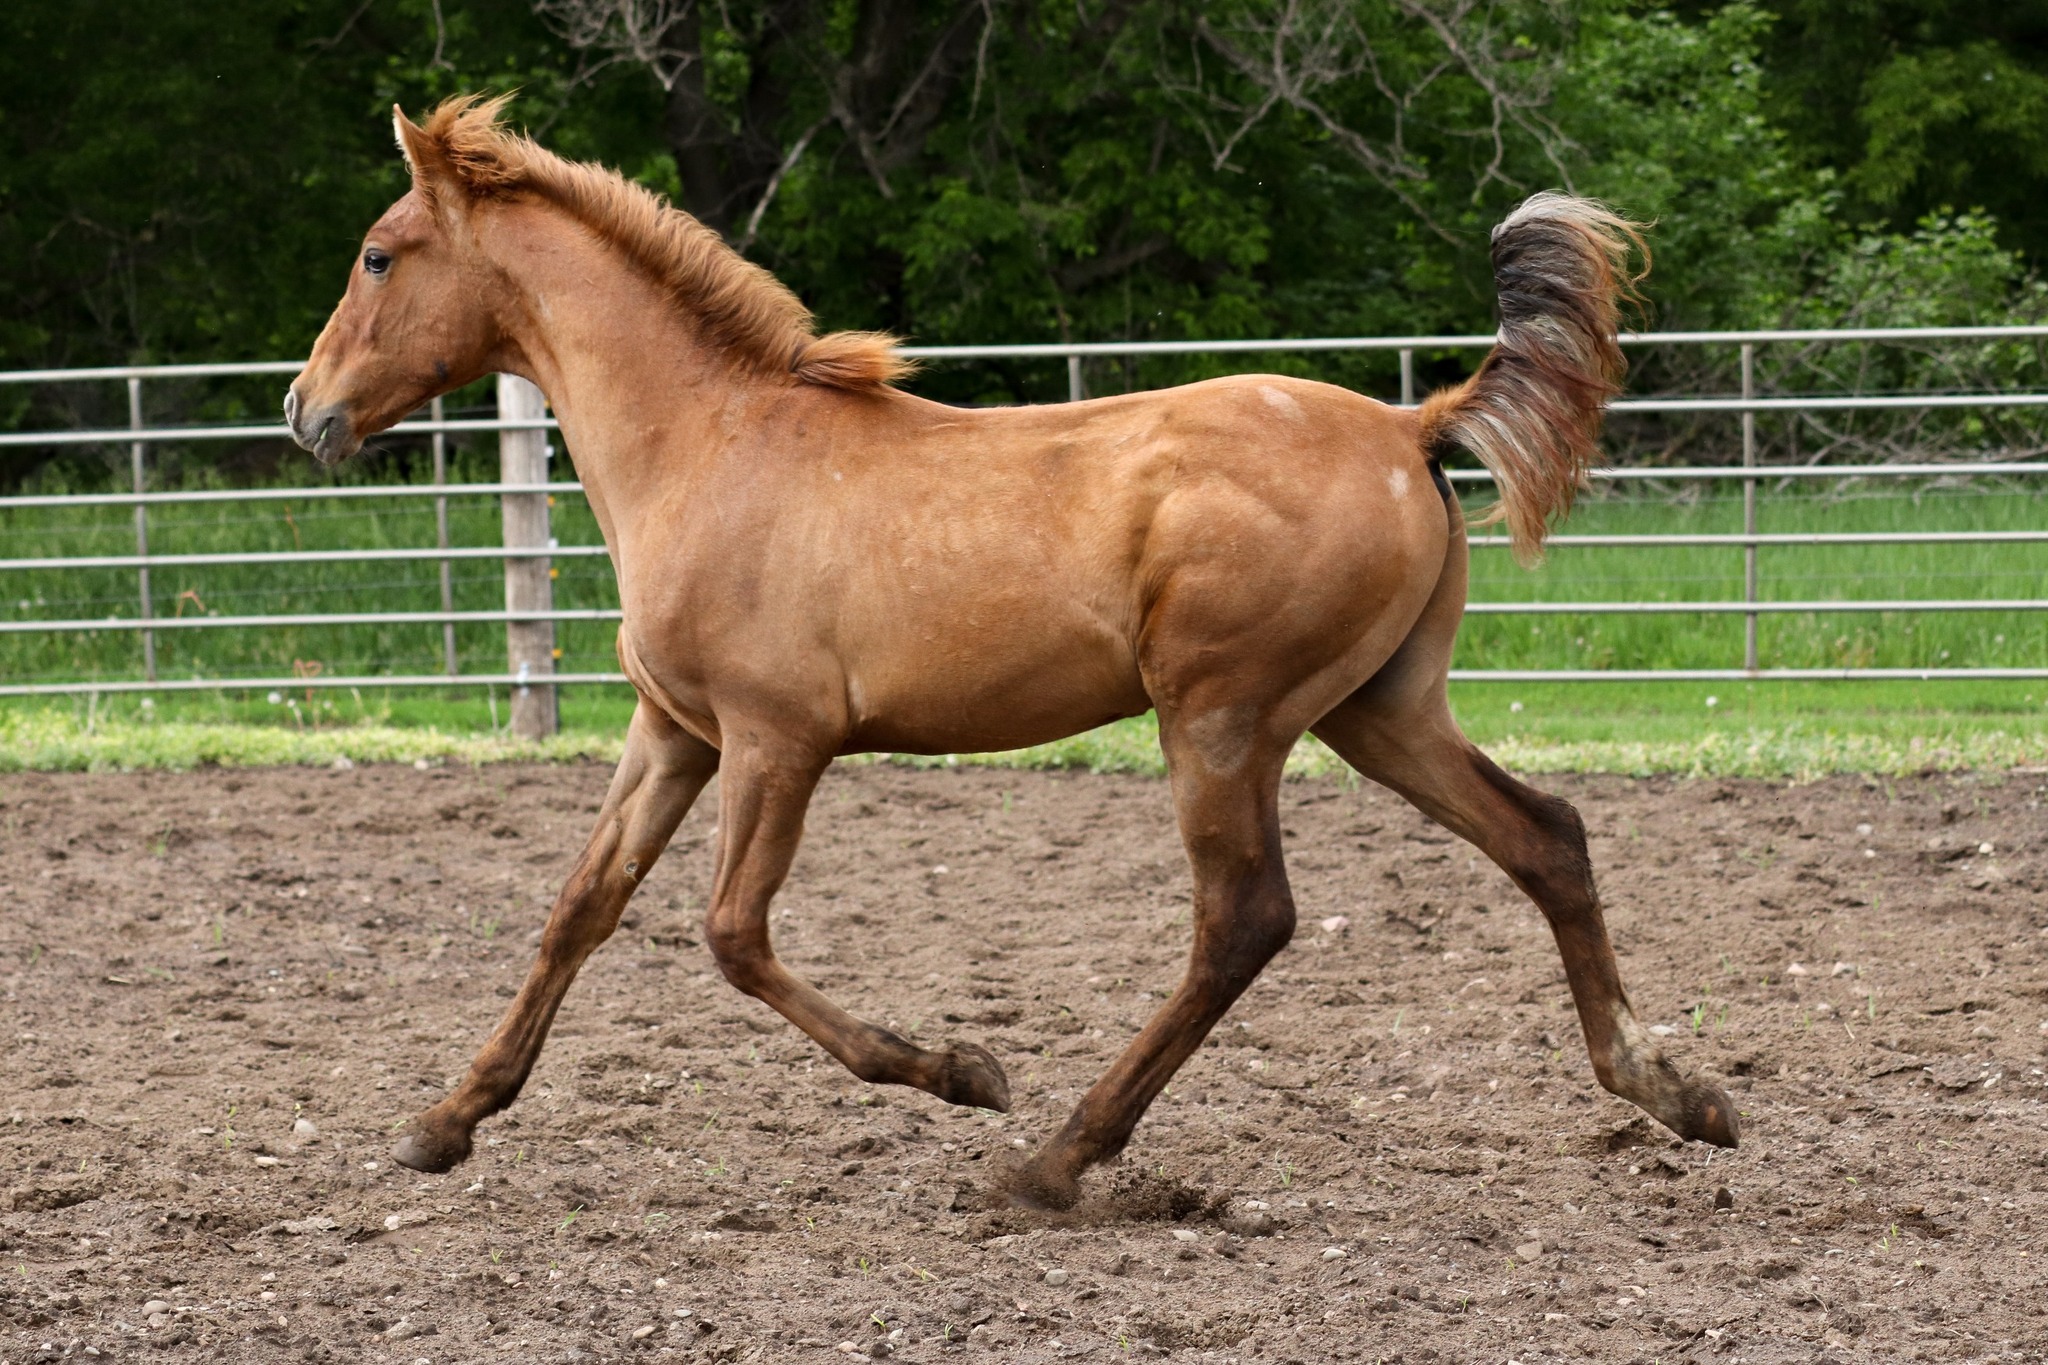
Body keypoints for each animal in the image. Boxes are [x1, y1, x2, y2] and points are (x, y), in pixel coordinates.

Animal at [286, 95, 1737, 1211]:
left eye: (376, 254)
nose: (307, 412)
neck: (709, 444)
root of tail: (1405, 425)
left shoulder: (775, 739)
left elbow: (732, 936)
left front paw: (961, 1072)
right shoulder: (677, 733)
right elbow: (579, 909)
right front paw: (441, 1123)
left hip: (1221, 718)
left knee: (1244, 919)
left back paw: (1052, 1159)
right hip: (1380, 710)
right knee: (1546, 837)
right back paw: (1676, 1092)